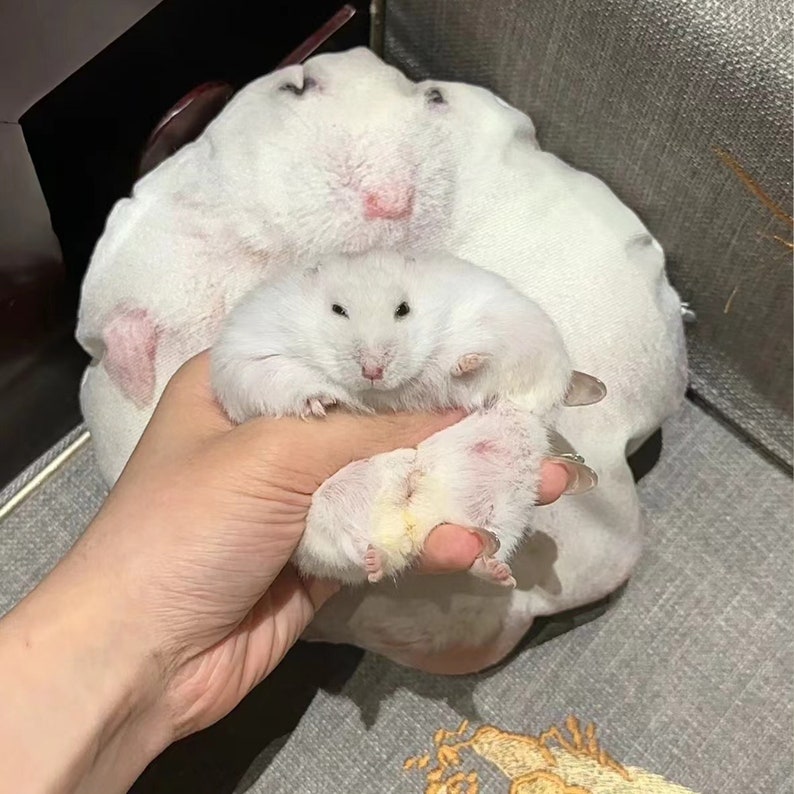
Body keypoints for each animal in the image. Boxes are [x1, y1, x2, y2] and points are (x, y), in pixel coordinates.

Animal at [211, 250, 572, 586]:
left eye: (403, 309)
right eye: (337, 310)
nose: (373, 371)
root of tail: (415, 517)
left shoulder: (509, 321)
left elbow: (491, 357)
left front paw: (465, 363)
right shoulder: (248, 354)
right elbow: (278, 376)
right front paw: (323, 402)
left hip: (507, 489)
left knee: (490, 538)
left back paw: (494, 568)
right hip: (325, 519)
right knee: (356, 547)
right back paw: (381, 547)